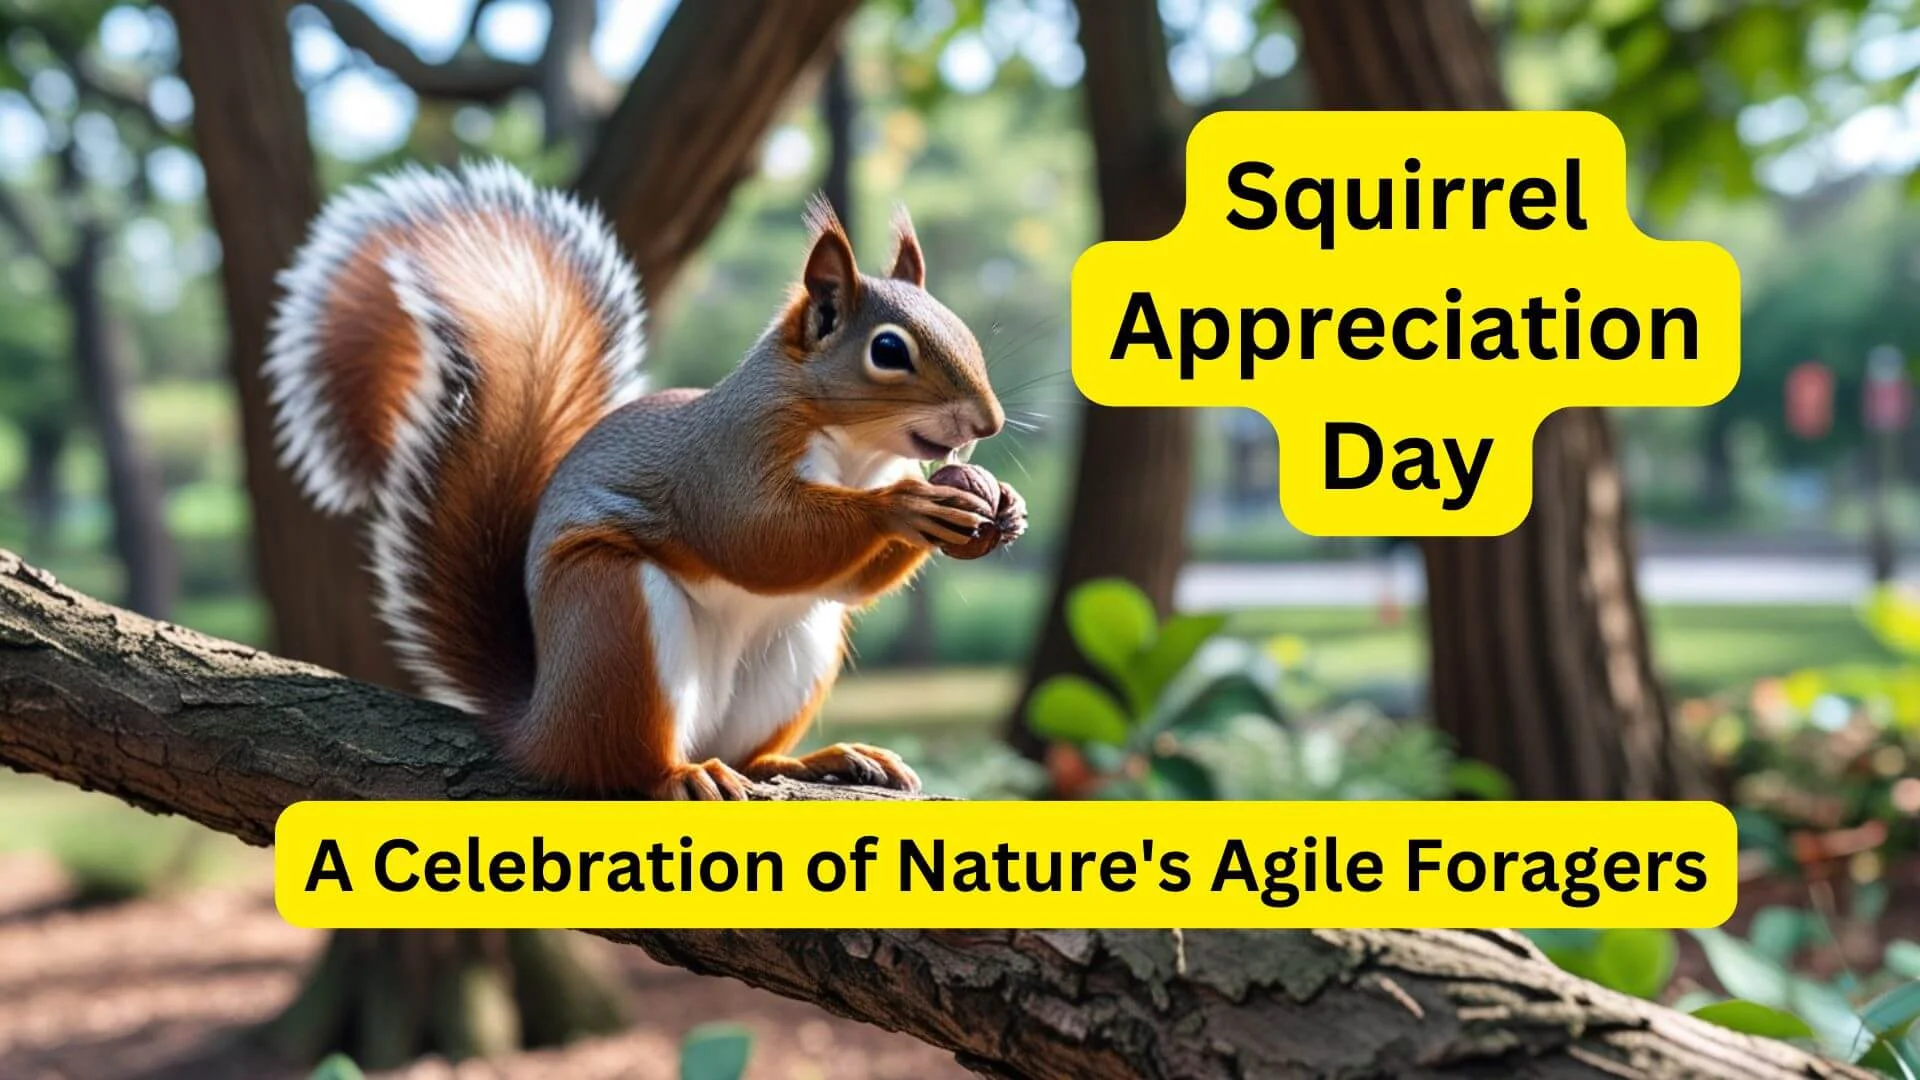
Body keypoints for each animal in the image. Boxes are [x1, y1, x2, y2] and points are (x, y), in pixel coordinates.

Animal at [264, 161, 1016, 800]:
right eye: (888, 350)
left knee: (751, 756)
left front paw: (1003, 507)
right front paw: (905, 505)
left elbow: (846, 580)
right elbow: (762, 539)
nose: (991, 421)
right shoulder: (726, 462)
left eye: (965, 328)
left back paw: (825, 759)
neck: (860, 453)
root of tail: (540, 725)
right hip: (613, 619)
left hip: (796, 651)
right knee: (624, 766)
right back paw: (683, 776)